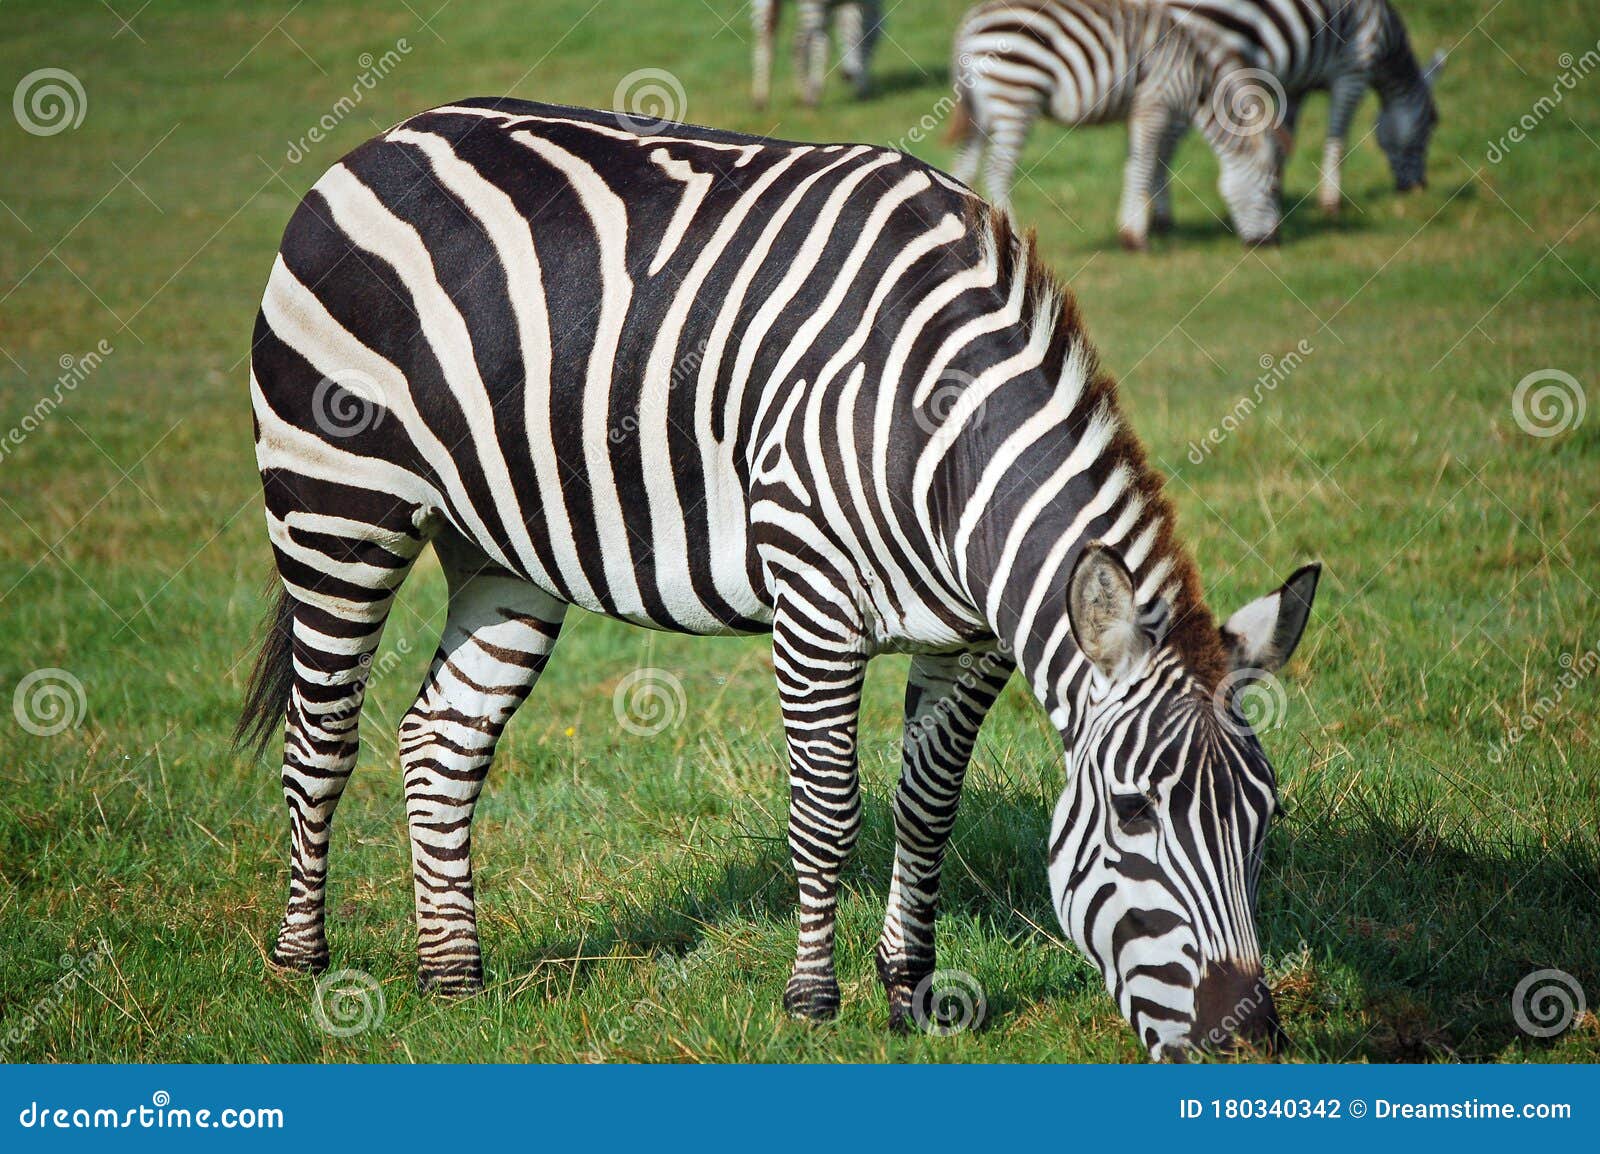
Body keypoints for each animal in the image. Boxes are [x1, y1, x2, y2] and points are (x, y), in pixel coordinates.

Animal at [236, 97, 1319, 1056]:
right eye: (1135, 814)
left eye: (1265, 818)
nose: (1248, 1040)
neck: (939, 435)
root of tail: (383, 140)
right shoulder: (813, 608)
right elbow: (827, 810)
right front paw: (811, 998)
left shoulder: (970, 644)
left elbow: (928, 806)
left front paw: (910, 989)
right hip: (334, 502)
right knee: (321, 738)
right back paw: (303, 964)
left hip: (502, 546)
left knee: (441, 738)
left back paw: (453, 977)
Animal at [948, 0, 1283, 249]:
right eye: (1270, 186)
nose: (1271, 242)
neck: (1196, 76)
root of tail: (970, 24)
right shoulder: (1155, 103)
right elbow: (1147, 164)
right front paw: (1136, 237)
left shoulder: (1140, 110)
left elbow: (1139, 164)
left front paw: (1145, 226)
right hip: (1016, 94)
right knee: (997, 169)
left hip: (983, 109)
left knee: (964, 166)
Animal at [1154, 0, 1444, 216]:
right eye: (1432, 123)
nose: (1419, 188)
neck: (1384, 33)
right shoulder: (1353, 73)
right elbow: (1337, 141)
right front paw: (1330, 203)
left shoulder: (1294, 86)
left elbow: (1284, 143)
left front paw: (1275, 193)